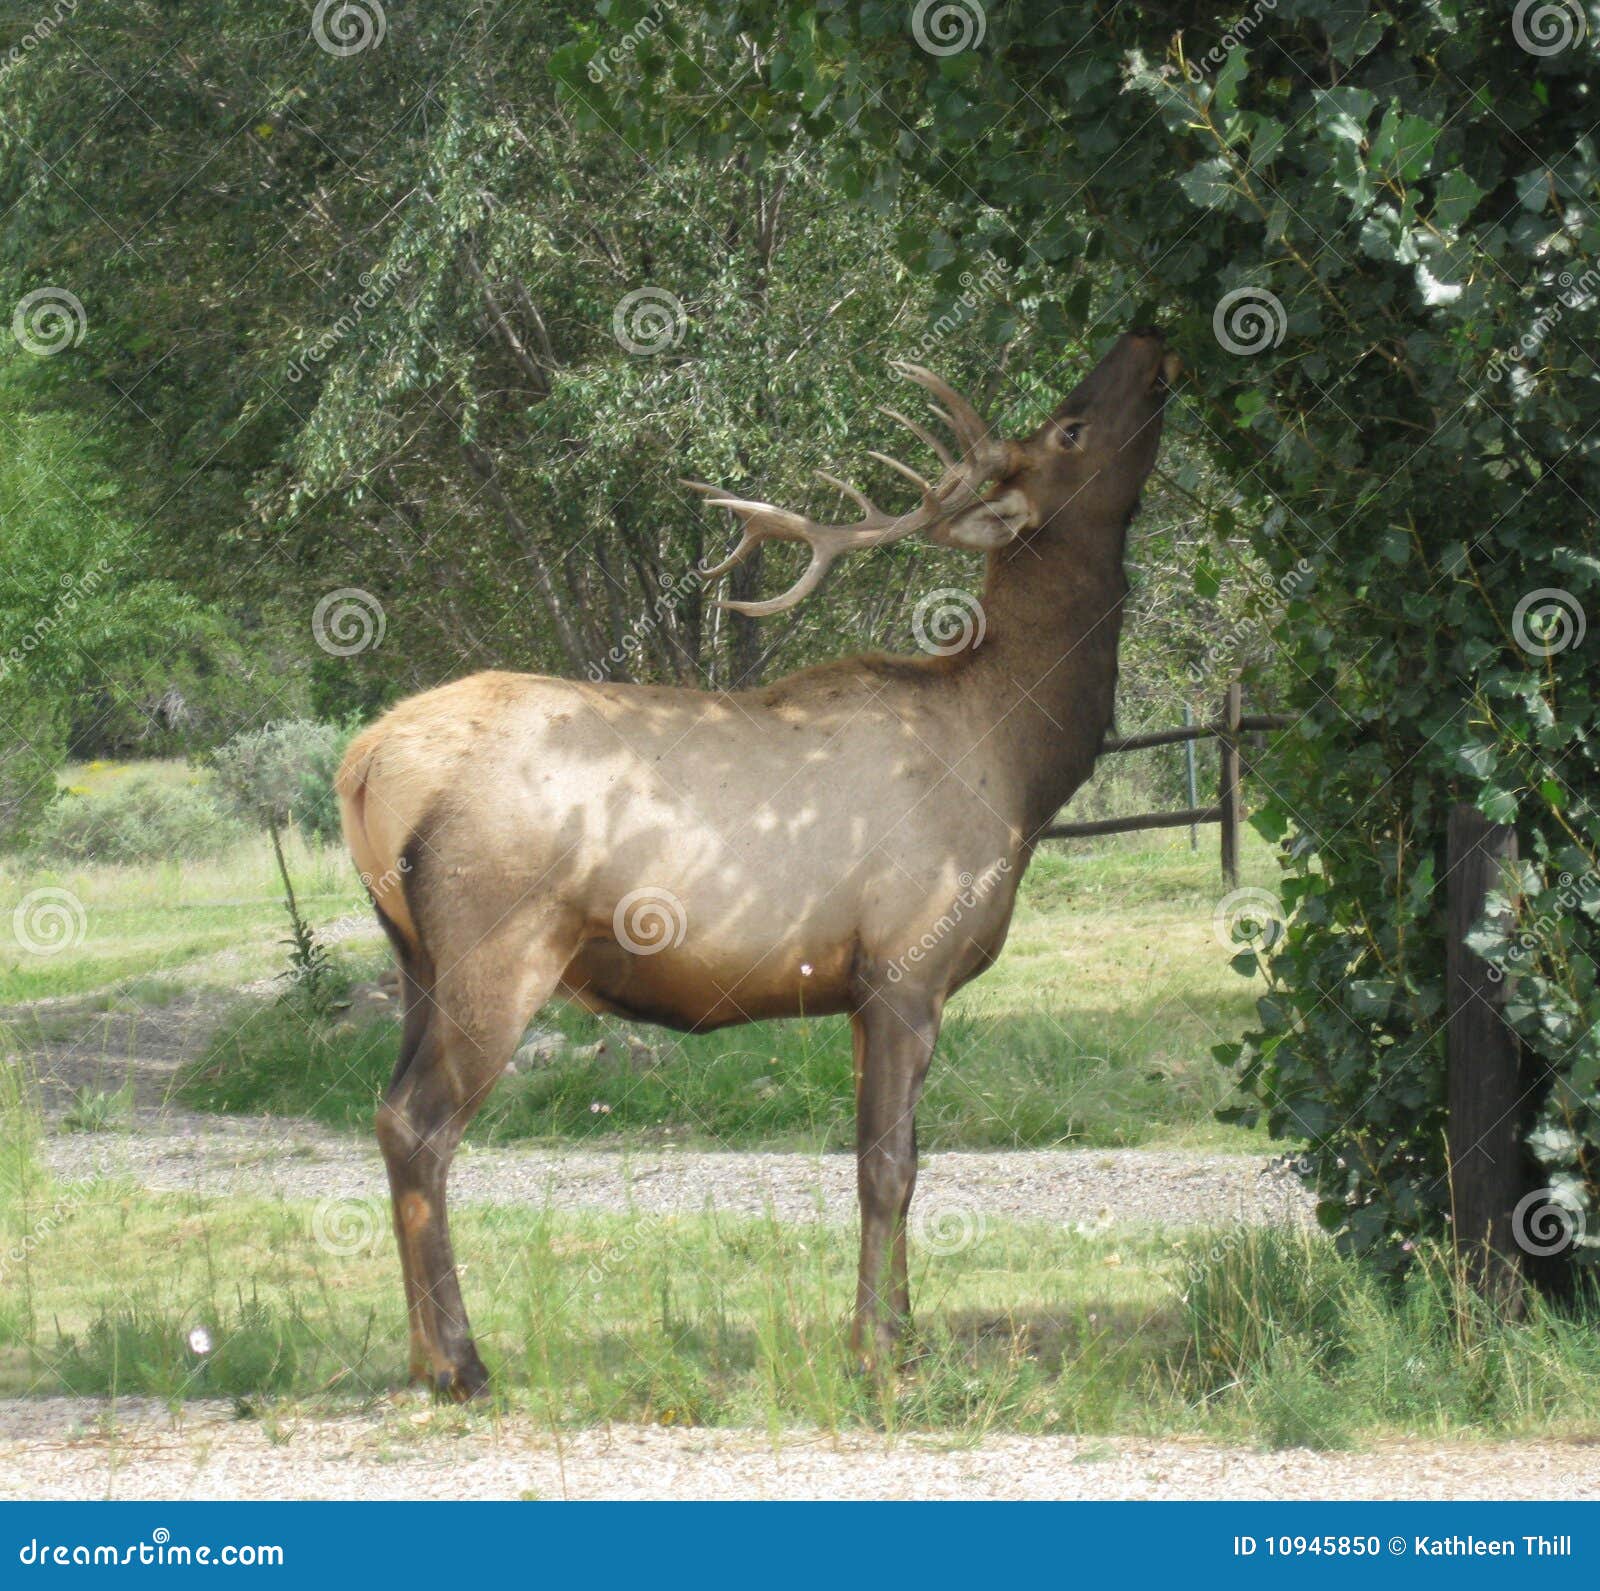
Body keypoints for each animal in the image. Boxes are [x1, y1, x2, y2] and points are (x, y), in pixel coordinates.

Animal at [337, 327, 1179, 1398]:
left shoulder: (862, 990)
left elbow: (905, 1158)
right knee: (421, 1123)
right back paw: (462, 1362)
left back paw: (421, 1356)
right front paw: (875, 1354)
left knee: (385, 1111)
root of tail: (364, 764)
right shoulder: (905, 964)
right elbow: (886, 1165)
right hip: (501, 944)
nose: (1151, 337)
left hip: (416, 959)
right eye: (1071, 427)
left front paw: (904, 1331)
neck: (1019, 760)